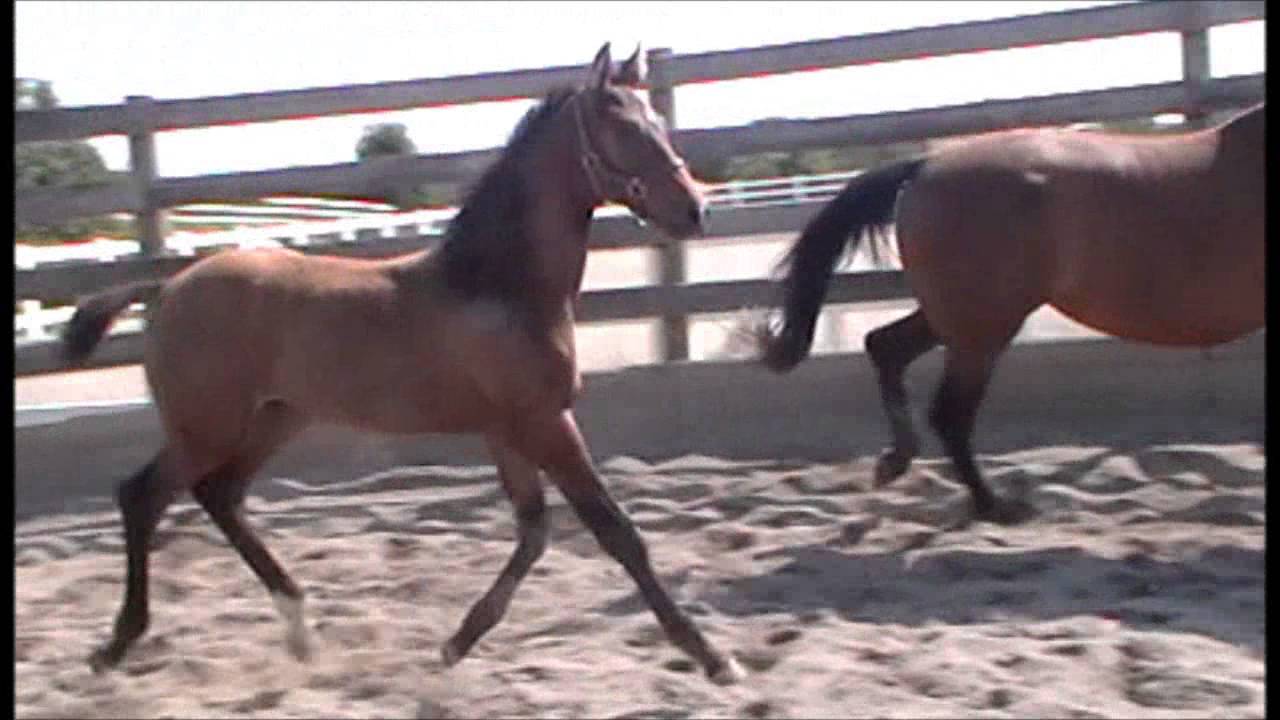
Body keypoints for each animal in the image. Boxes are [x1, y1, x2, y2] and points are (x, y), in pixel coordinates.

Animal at [64, 43, 744, 685]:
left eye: (658, 122)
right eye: (624, 128)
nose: (696, 211)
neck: (499, 286)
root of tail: (168, 287)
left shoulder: (507, 430)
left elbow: (533, 531)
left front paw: (454, 644)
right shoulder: (544, 423)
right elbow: (615, 531)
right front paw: (713, 659)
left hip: (275, 418)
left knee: (219, 495)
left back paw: (299, 628)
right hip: (208, 426)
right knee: (143, 496)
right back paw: (117, 644)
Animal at [759, 103, 1264, 524]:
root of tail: (925, 167)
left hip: (961, 319)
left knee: (885, 346)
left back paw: (897, 462)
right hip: (983, 326)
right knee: (949, 412)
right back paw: (995, 505)